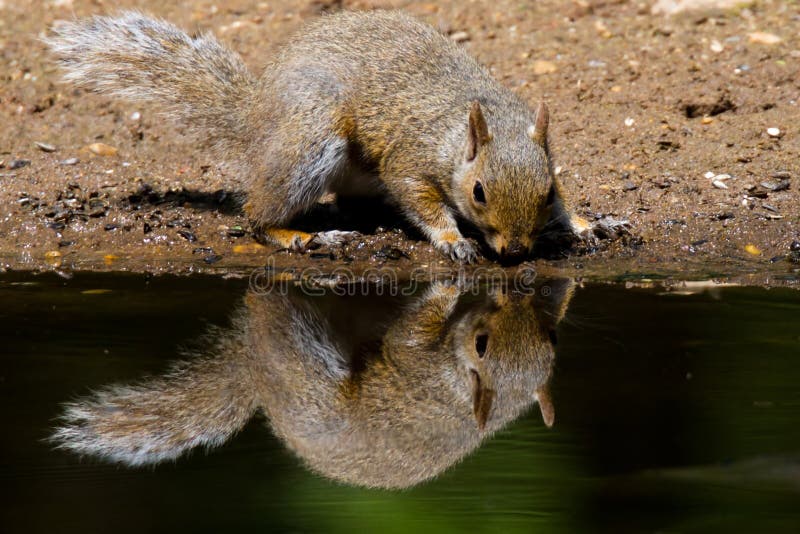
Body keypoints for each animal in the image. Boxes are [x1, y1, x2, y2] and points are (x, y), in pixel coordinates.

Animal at [46, 10, 622, 263]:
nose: (516, 252)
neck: (464, 127)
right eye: (479, 193)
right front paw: (453, 240)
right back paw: (304, 235)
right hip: (311, 141)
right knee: (257, 217)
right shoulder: (410, 161)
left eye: (547, 191)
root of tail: (257, 118)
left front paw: (588, 223)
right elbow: (421, 200)